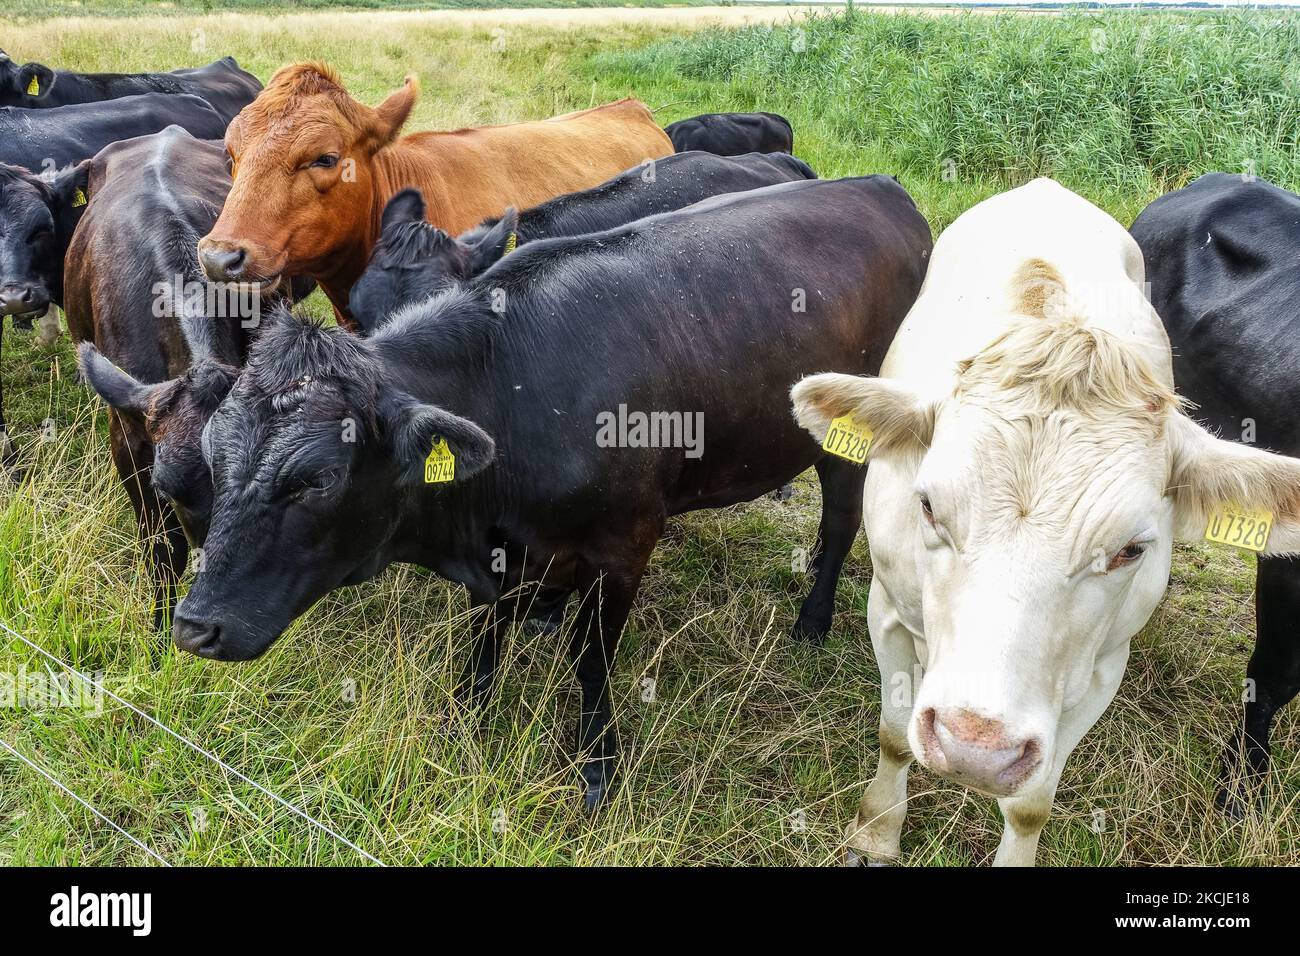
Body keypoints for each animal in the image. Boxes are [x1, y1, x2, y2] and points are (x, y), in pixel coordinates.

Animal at [170, 176, 932, 809]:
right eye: (213, 451)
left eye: (319, 478)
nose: (194, 625)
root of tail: (882, 187)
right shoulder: (503, 552)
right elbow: (485, 636)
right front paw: (467, 715)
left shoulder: (624, 546)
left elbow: (590, 663)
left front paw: (597, 765)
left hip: (851, 438)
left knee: (840, 522)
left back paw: (813, 619)